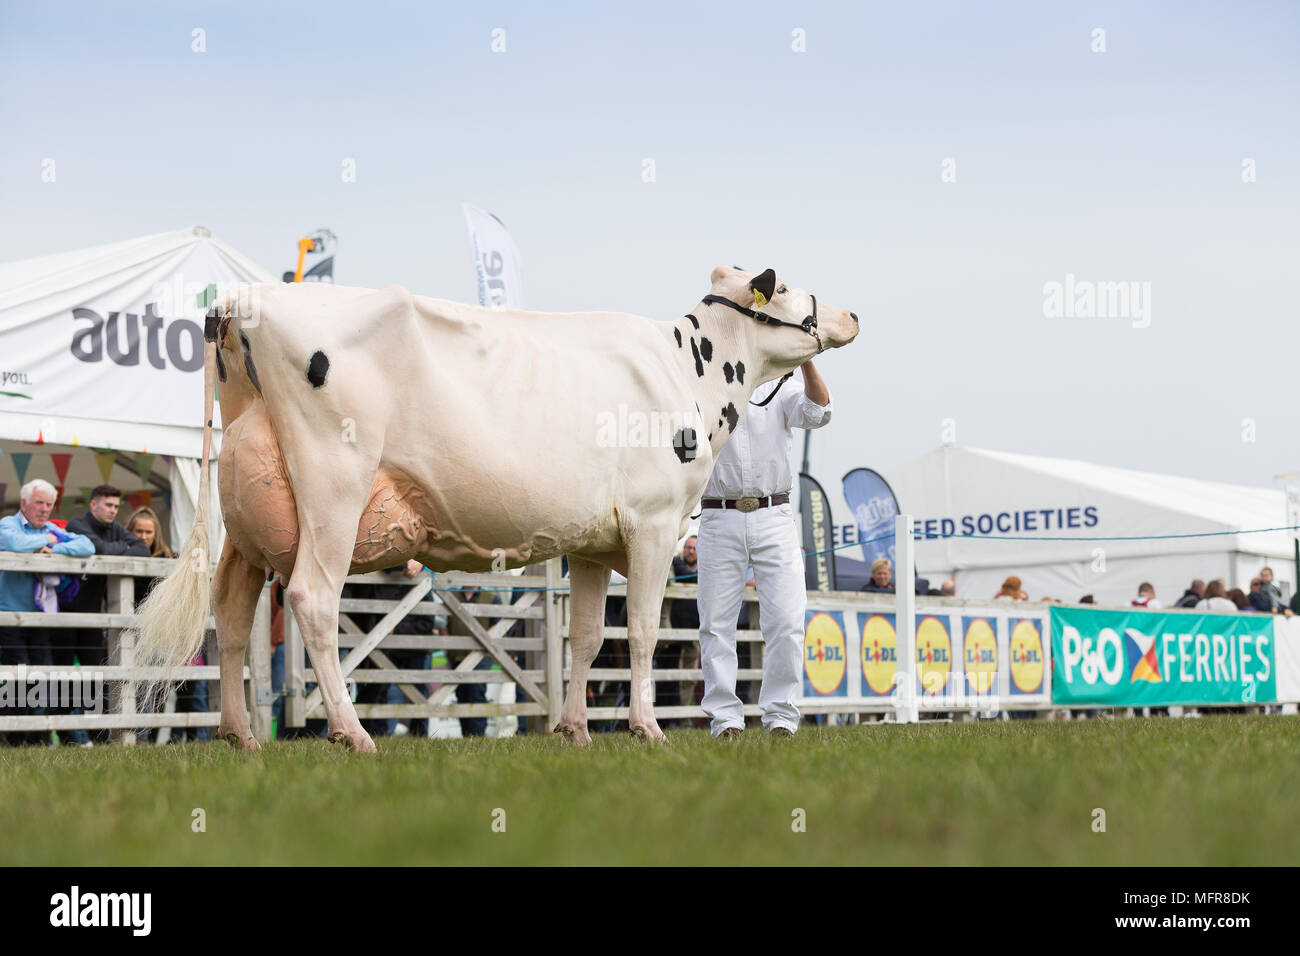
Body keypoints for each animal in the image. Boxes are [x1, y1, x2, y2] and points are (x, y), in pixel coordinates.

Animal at [132, 266, 859, 751]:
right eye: (787, 287)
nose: (851, 316)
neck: (690, 372)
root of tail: (241, 299)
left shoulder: (593, 542)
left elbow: (587, 636)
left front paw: (574, 731)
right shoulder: (653, 524)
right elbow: (642, 632)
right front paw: (647, 728)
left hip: (247, 502)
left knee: (230, 608)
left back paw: (241, 735)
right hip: (332, 488)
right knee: (313, 597)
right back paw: (350, 732)